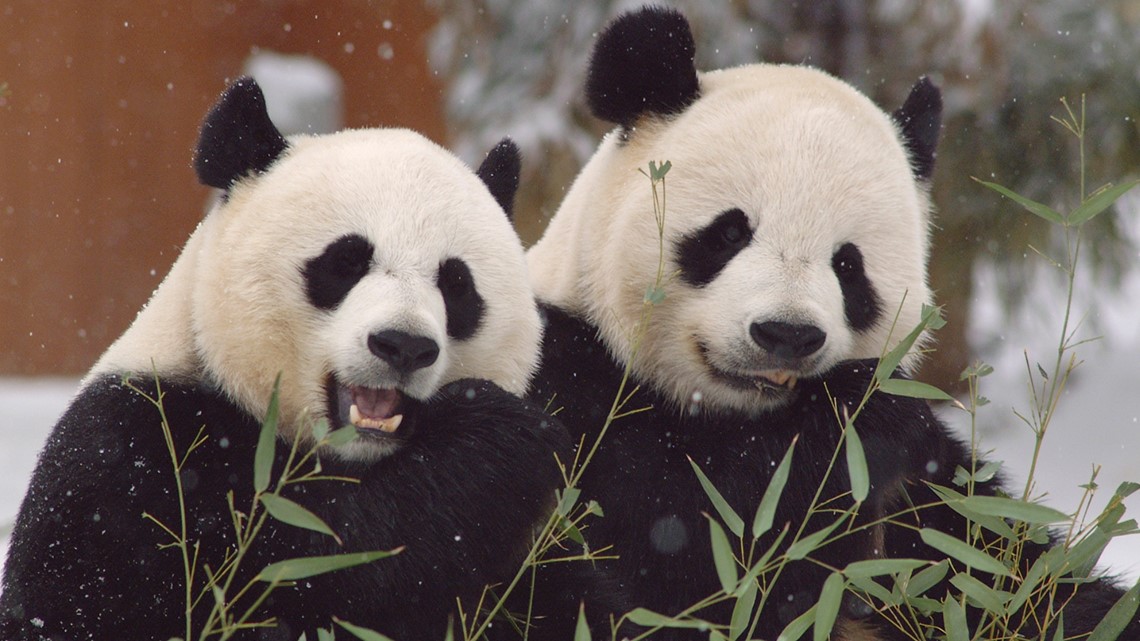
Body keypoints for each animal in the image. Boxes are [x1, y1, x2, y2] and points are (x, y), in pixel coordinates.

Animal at [0, 77, 617, 641]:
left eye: (456, 284)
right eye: (345, 261)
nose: (403, 346)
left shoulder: (539, 558)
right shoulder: (137, 453)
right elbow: (329, 566)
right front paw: (498, 441)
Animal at [527, 7, 1138, 640]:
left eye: (848, 266)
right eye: (729, 233)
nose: (786, 335)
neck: (736, 417)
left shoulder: (933, 504)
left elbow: (1016, 581)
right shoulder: (570, 387)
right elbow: (680, 547)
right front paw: (859, 419)